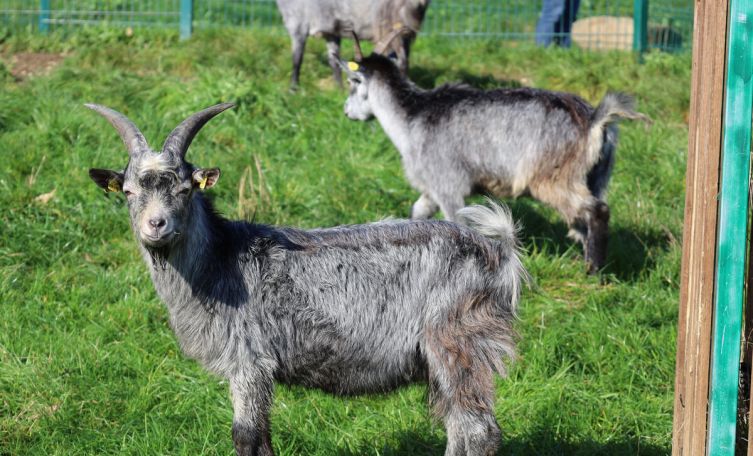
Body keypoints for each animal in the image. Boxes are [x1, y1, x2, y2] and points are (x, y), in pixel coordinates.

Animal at [86, 103, 524, 456]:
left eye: (183, 189)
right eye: (128, 192)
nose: (155, 225)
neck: (220, 261)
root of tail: (498, 251)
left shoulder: (249, 360)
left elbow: (246, 437)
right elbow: (262, 437)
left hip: (456, 341)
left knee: (478, 430)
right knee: (458, 427)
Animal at [275, 0, 430, 88]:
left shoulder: (297, 24)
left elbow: (297, 60)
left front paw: (293, 89)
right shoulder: (332, 33)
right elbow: (334, 60)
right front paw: (339, 89)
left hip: (390, 22)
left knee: (402, 60)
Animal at [340, 40, 649, 274]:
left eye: (353, 82)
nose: (346, 112)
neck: (413, 116)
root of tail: (596, 119)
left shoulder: (448, 184)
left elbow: (457, 223)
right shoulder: (431, 188)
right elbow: (418, 213)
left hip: (554, 175)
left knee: (597, 210)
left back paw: (594, 271)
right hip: (596, 174)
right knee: (583, 216)